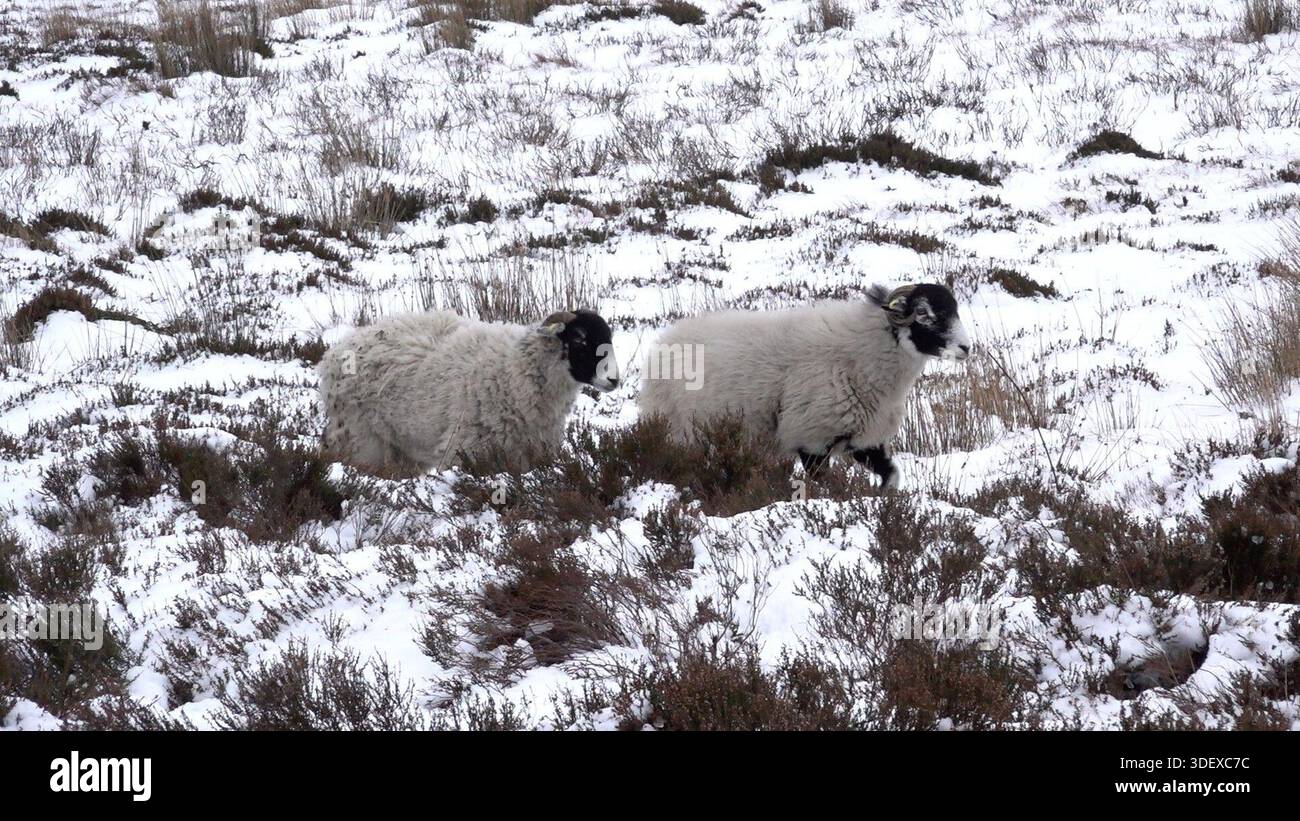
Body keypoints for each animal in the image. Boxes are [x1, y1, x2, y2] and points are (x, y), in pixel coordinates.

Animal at [318, 309, 619, 474]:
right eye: (580, 339)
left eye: (608, 339)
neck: (514, 368)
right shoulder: (464, 449)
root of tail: (334, 354)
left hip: (401, 449)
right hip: (362, 440)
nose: (614, 379)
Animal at [637, 283, 971, 489]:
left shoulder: (865, 439)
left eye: (955, 310)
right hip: (683, 431)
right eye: (924, 314)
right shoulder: (811, 436)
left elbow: (892, 476)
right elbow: (825, 484)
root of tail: (664, 342)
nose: (966, 348)